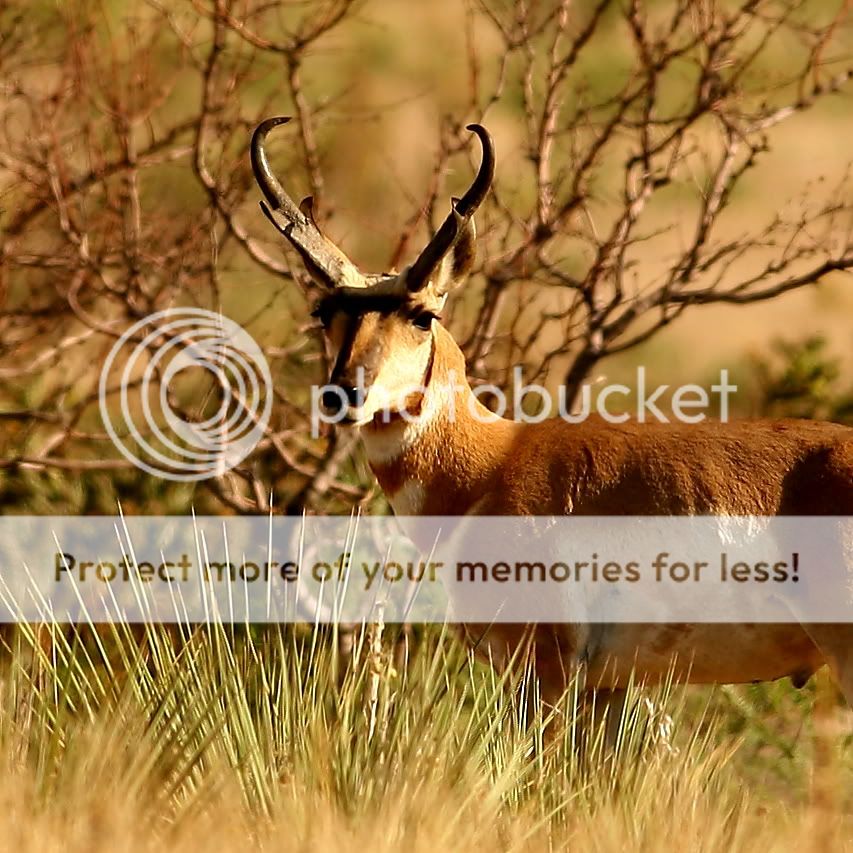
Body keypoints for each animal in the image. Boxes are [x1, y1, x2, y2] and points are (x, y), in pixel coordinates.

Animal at [251, 116, 853, 719]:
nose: (343, 393)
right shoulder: (606, 688)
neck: (489, 468)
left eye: (423, 315)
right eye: (324, 311)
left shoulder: (545, 676)